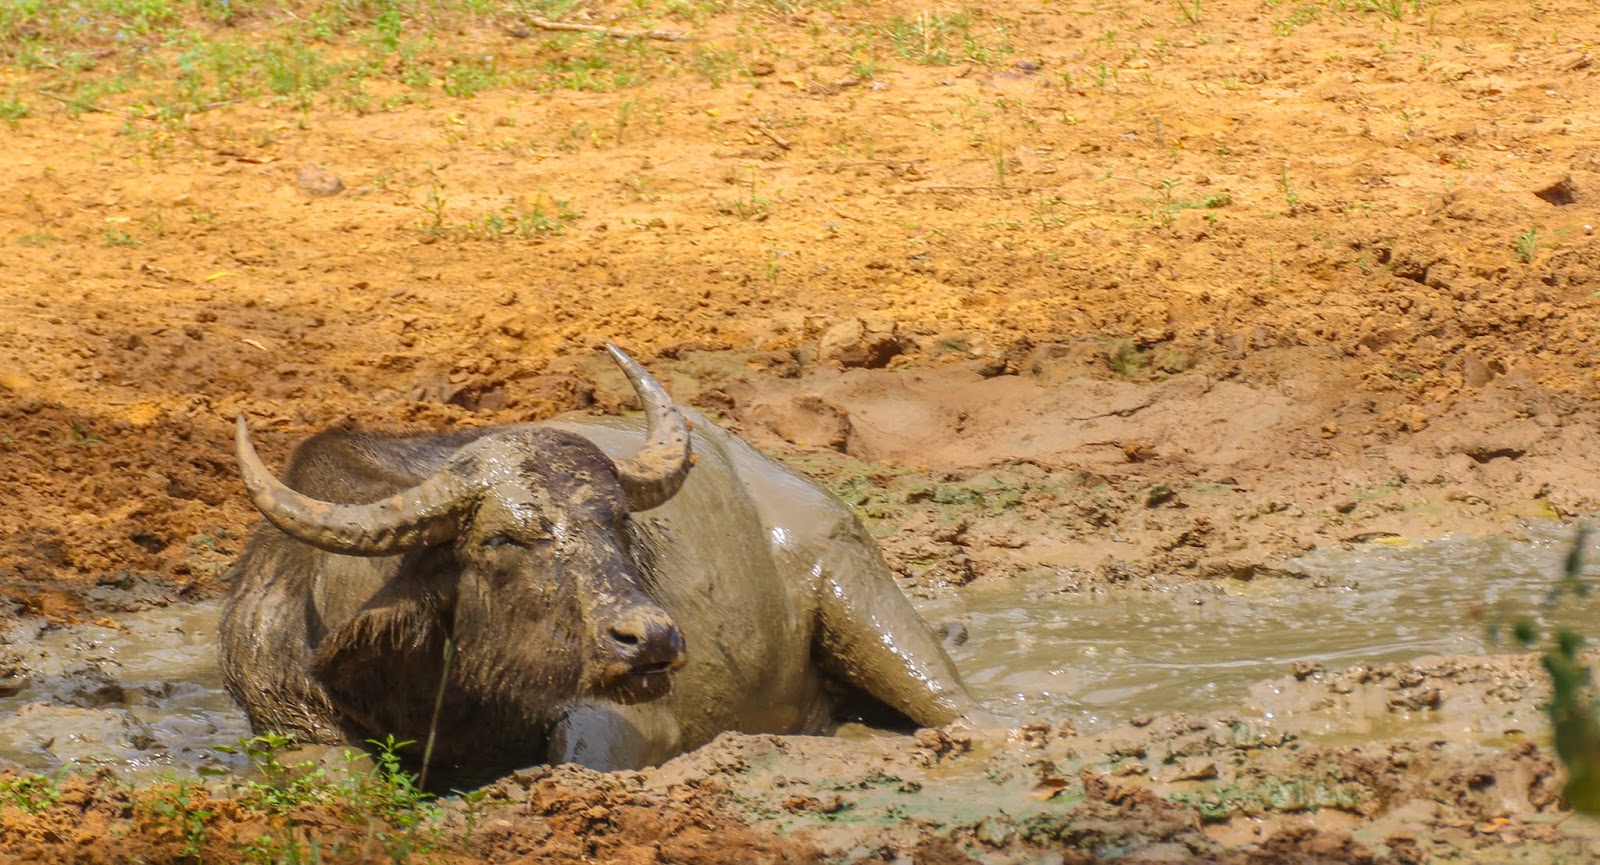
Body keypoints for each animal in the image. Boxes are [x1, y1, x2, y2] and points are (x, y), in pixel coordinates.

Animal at [220, 344, 989, 786]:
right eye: (502, 539)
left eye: (617, 520)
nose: (651, 638)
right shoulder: (289, 722)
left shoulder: (623, 720)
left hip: (857, 593)